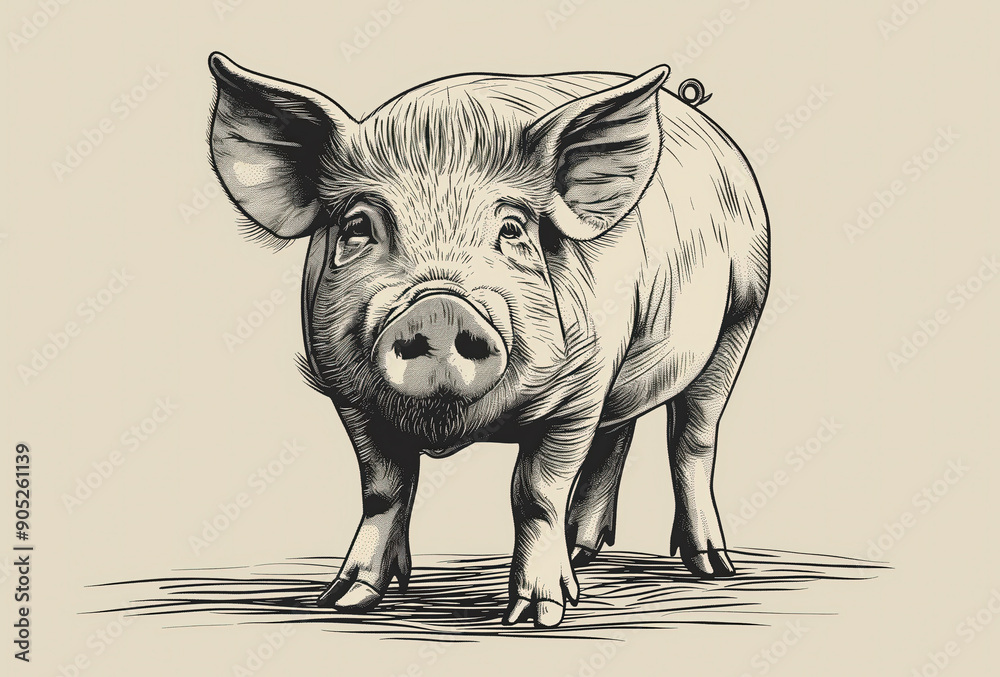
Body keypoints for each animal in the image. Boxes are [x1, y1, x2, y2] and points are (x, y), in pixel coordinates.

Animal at [207, 52, 770, 628]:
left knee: (693, 439)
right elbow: (383, 486)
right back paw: (582, 551)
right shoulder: (348, 394)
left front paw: (538, 615)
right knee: (618, 431)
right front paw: (345, 600)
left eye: (512, 229)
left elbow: (536, 491)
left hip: (741, 314)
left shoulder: (582, 388)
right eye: (357, 227)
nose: (438, 307)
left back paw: (712, 567)